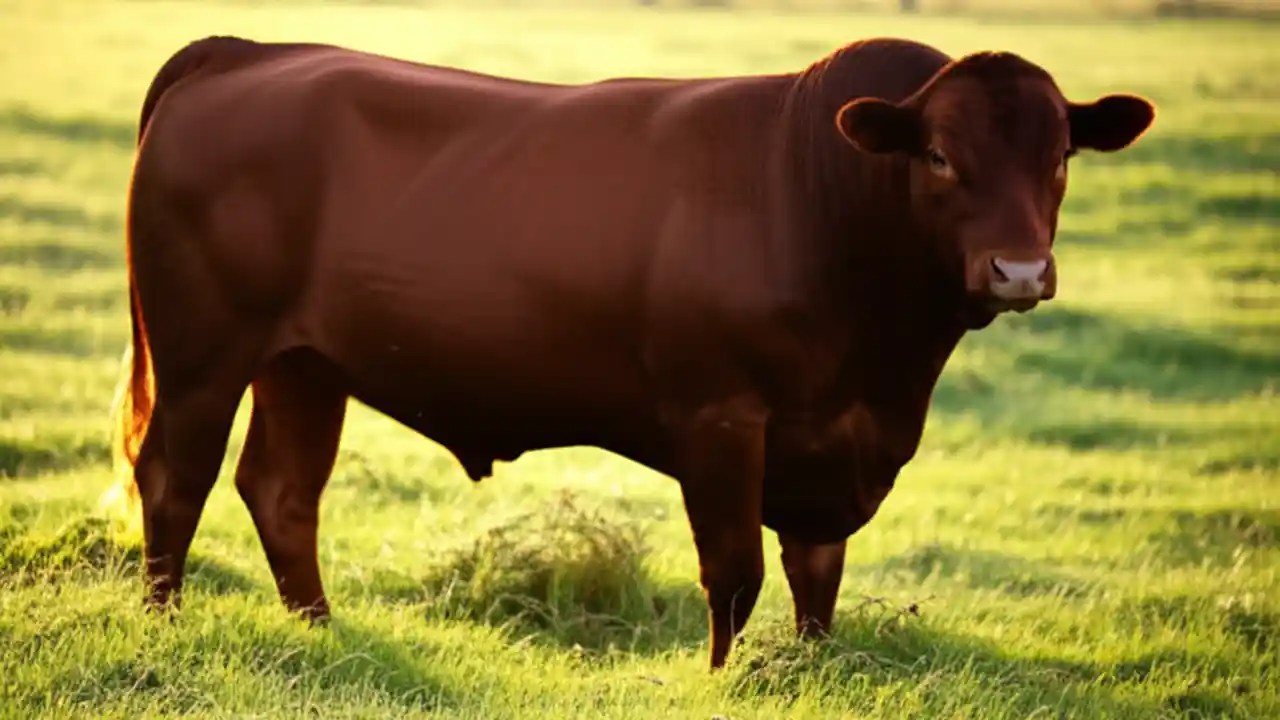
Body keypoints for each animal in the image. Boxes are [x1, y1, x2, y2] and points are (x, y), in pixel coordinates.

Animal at [113, 34, 1153, 669]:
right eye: (937, 155)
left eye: (1061, 155)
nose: (1019, 270)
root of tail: (246, 53)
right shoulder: (721, 417)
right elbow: (734, 574)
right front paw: (727, 681)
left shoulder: (836, 445)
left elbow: (817, 576)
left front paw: (810, 668)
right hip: (203, 351)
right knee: (173, 476)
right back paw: (162, 625)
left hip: (304, 364)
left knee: (283, 491)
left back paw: (320, 629)